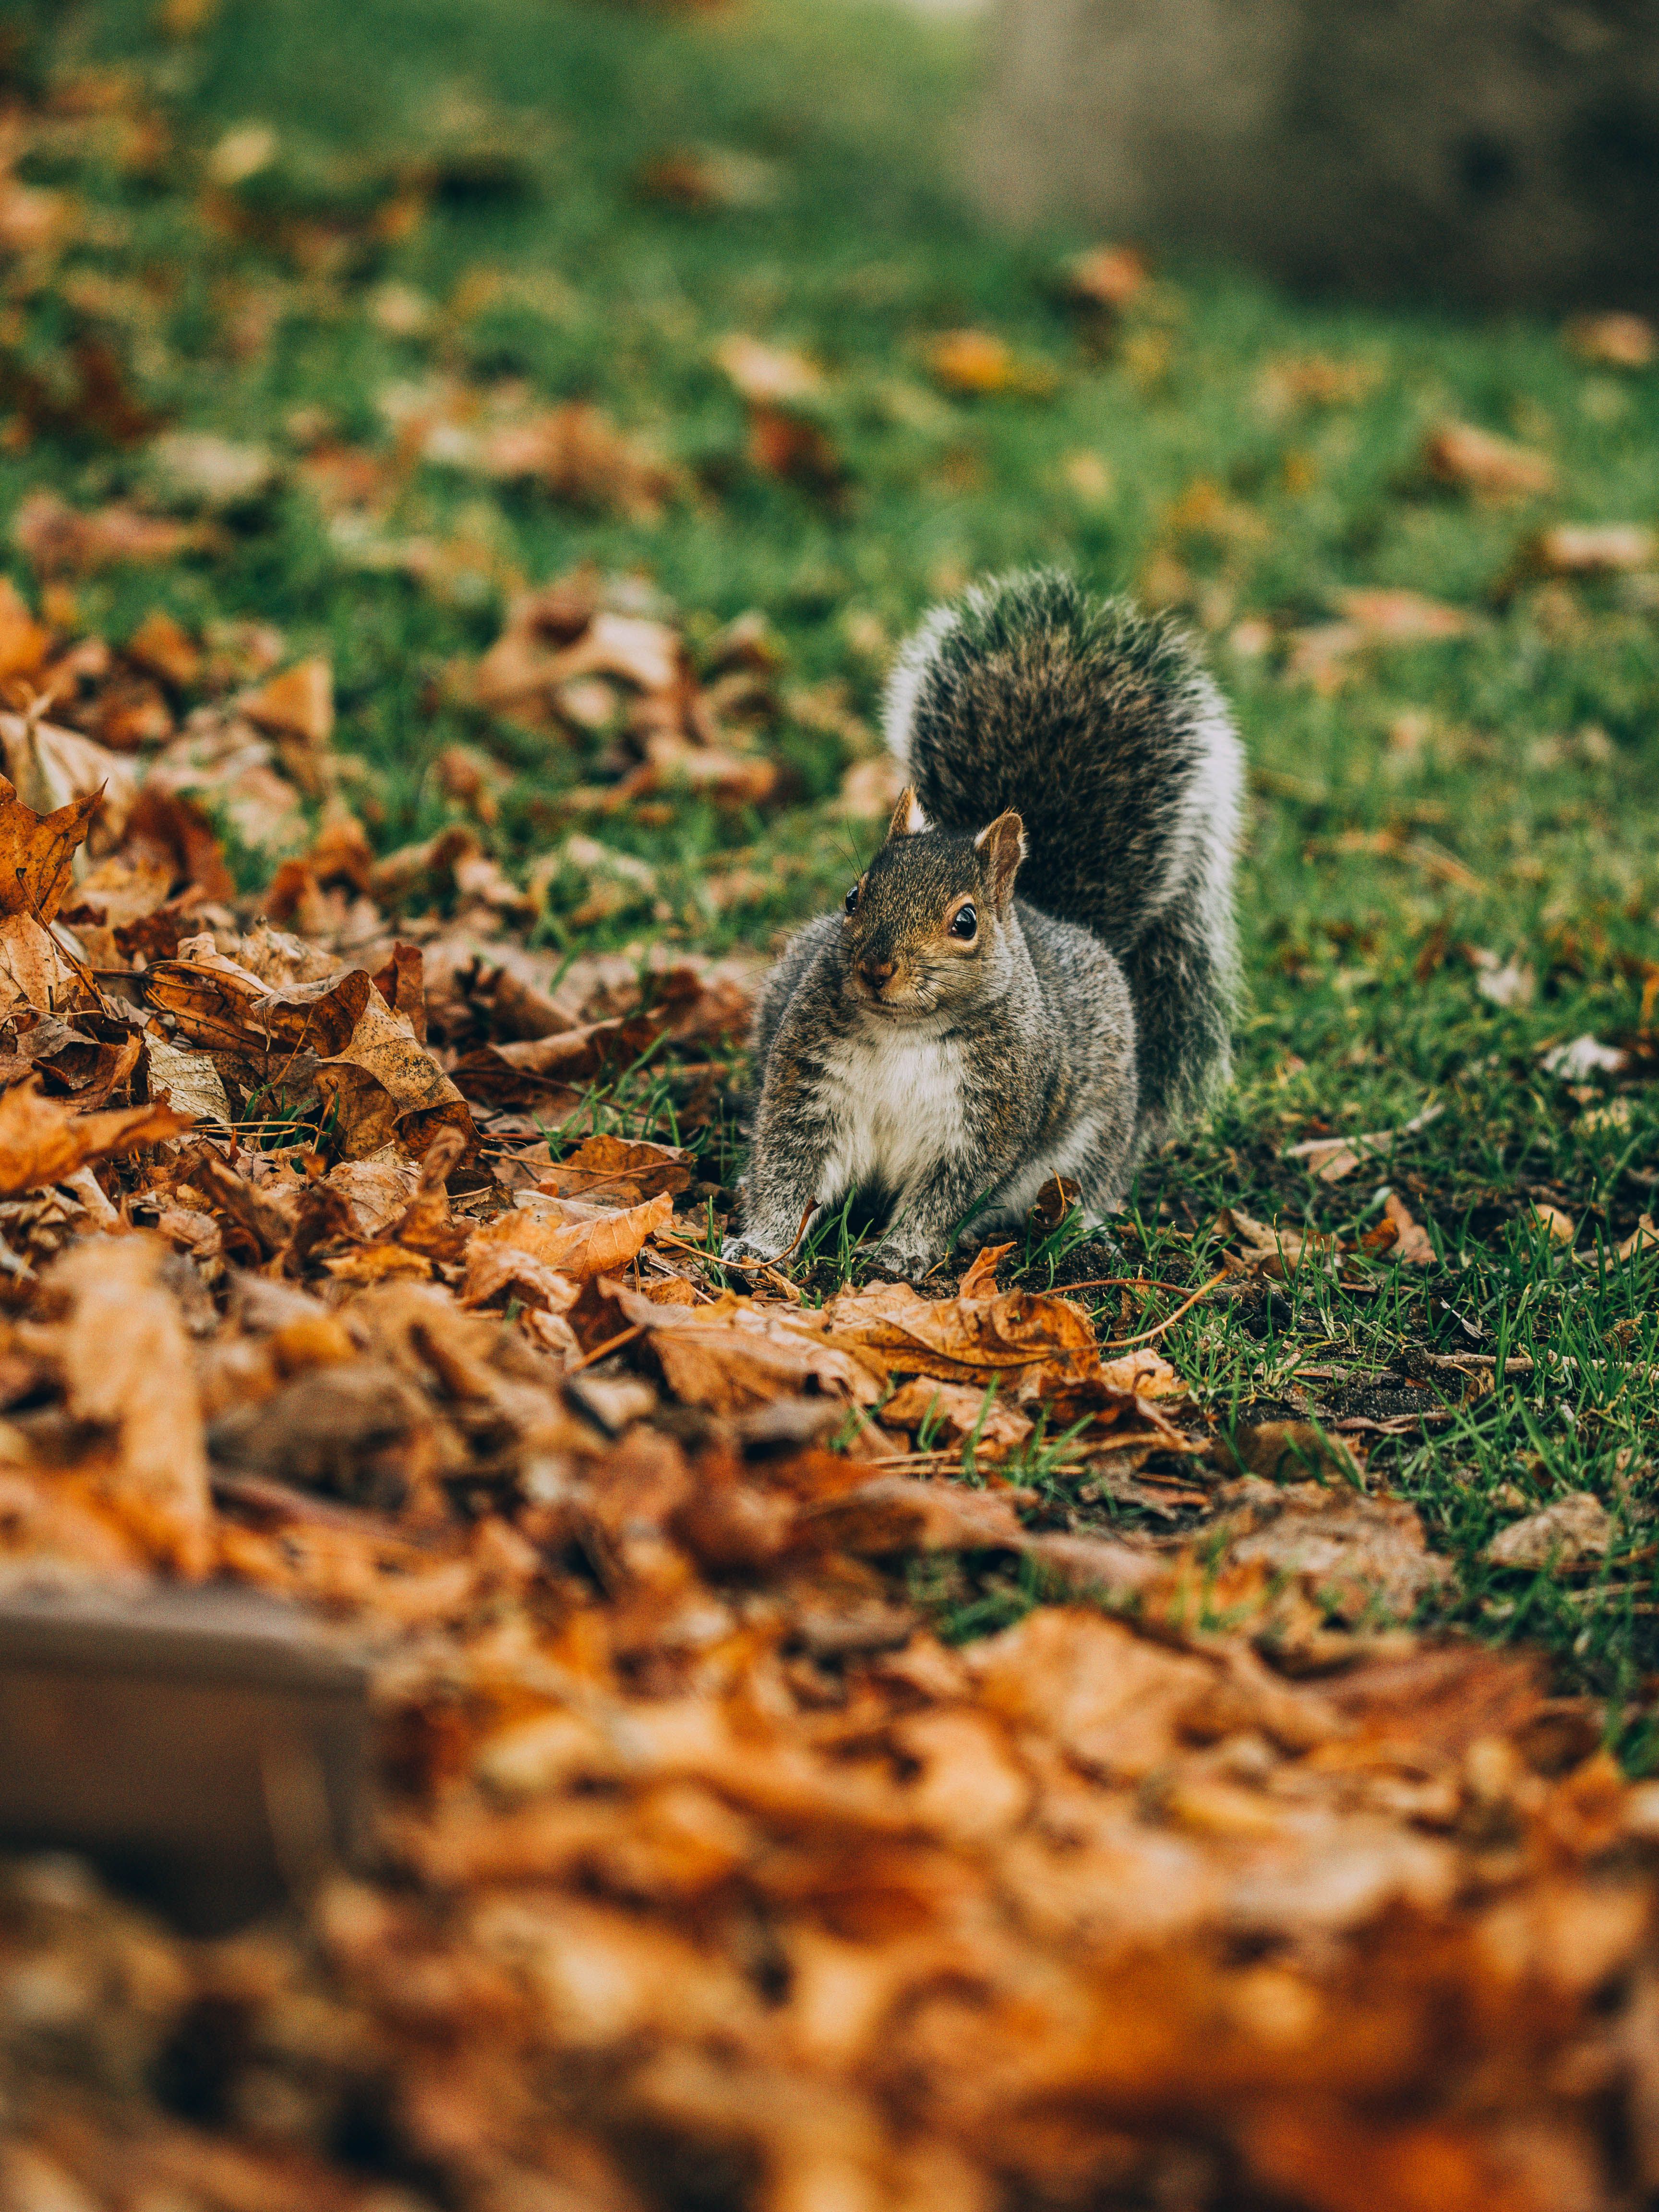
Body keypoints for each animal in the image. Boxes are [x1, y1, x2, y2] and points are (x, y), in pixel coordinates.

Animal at [723, 568, 1244, 1282]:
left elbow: (946, 1196)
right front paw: (762, 1242)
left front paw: (900, 1254)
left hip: (1094, 1140)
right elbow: (787, 1166)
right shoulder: (809, 1084)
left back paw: (1084, 1232)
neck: (904, 1032)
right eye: (854, 896)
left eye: (966, 922)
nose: (876, 968)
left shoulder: (989, 1119)